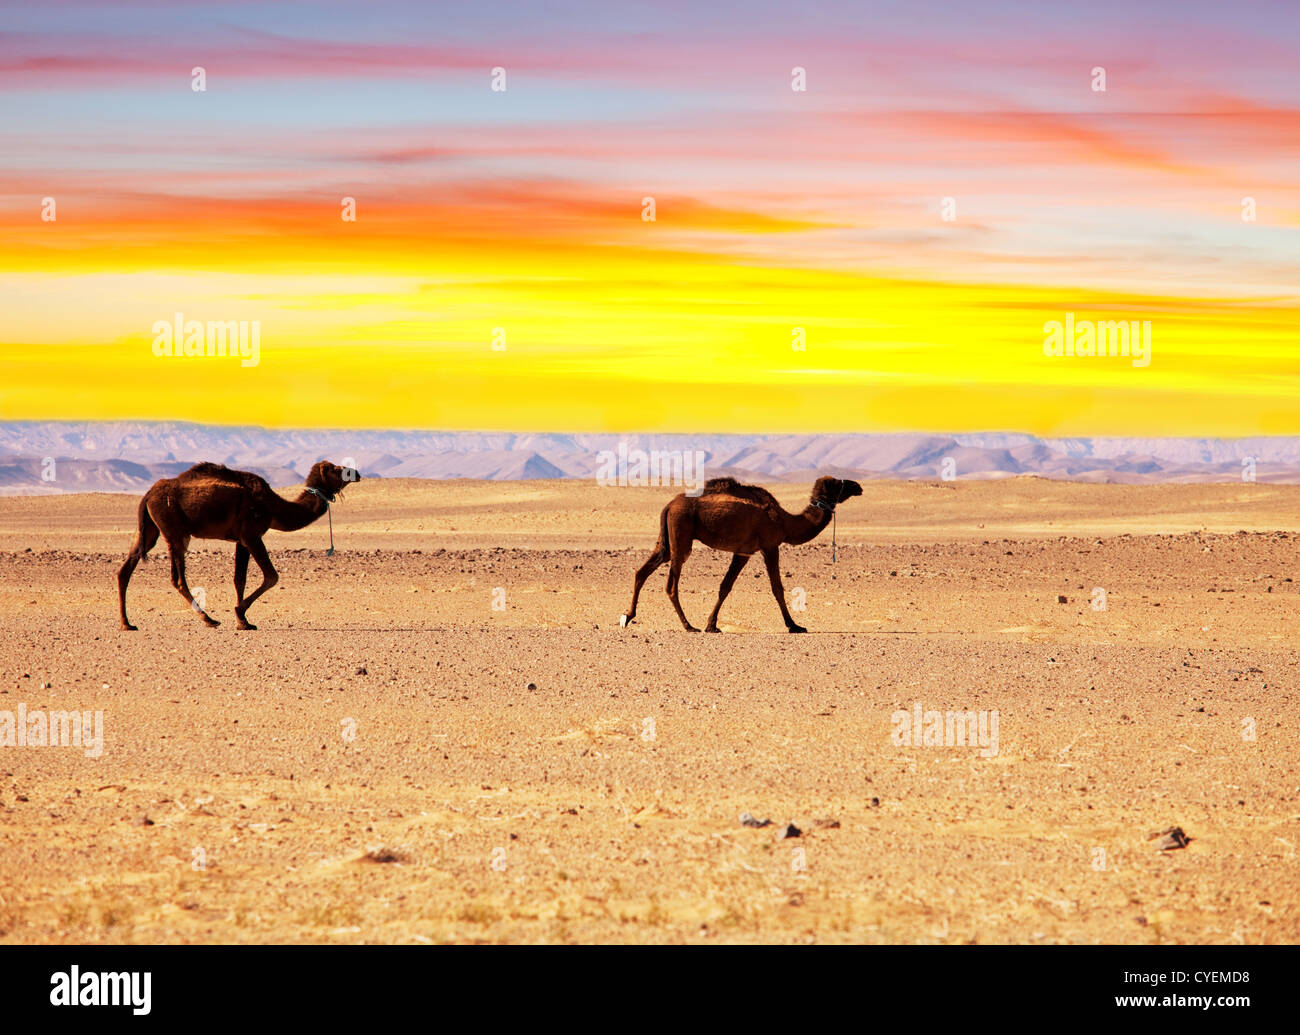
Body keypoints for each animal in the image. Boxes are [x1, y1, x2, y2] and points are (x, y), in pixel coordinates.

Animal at [117, 460, 359, 631]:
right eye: (336, 468)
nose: (356, 473)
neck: (274, 507)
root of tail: (148, 495)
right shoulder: (252, 534)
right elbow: (271, 576)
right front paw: (238, 611)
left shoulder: (241, 540)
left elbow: (239, 579)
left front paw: (243, 621)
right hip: (175, 531)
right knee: (177, 579)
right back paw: (209, 619)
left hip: (150, 530)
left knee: (125, 570)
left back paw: (127, 623)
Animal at [620, 474, 863, 633]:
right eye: (837, 483)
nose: (858, 486)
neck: (786, 522)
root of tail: (669, 505)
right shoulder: (770, 546)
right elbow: (777, 588)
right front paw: (794, 626)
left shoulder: (744, 552)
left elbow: (725, 586)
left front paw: (712, 625)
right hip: (681, 535)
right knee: (671, 584)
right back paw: (688, 625)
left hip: (666, 541)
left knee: (642, 571)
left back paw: (627, 616)